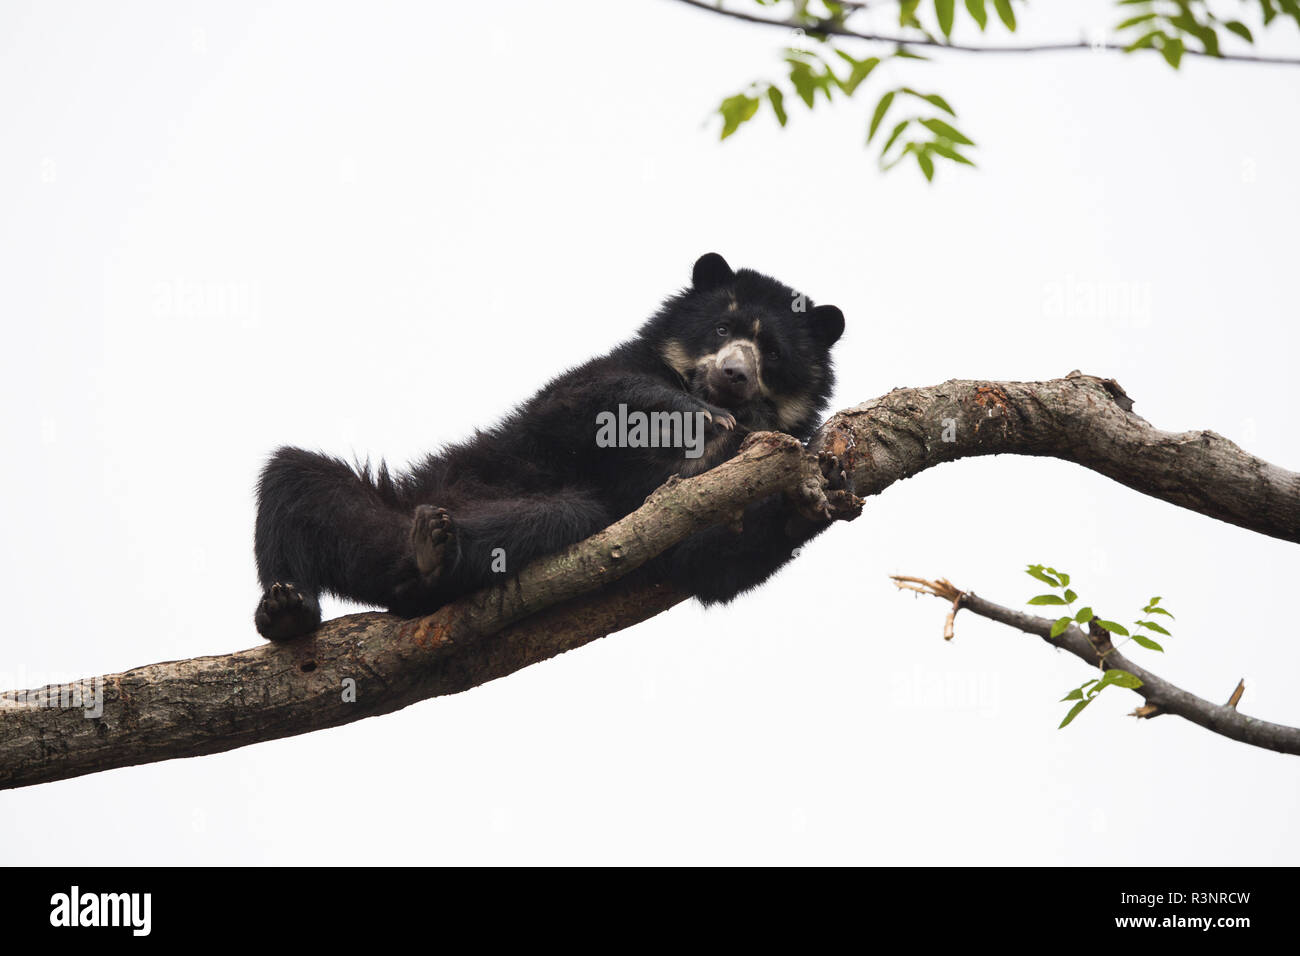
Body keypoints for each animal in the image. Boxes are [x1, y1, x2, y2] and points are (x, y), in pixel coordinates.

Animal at [253, 252, 846, 641]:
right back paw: (289, 605)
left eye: (773, 354)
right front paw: (707, 420)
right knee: (294, 482)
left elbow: (707, 557)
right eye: (721, 329)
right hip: (394, 501)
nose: (733, 377)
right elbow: (578, 403)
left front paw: (819, 489)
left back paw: (425, 564)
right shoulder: (603, 378)